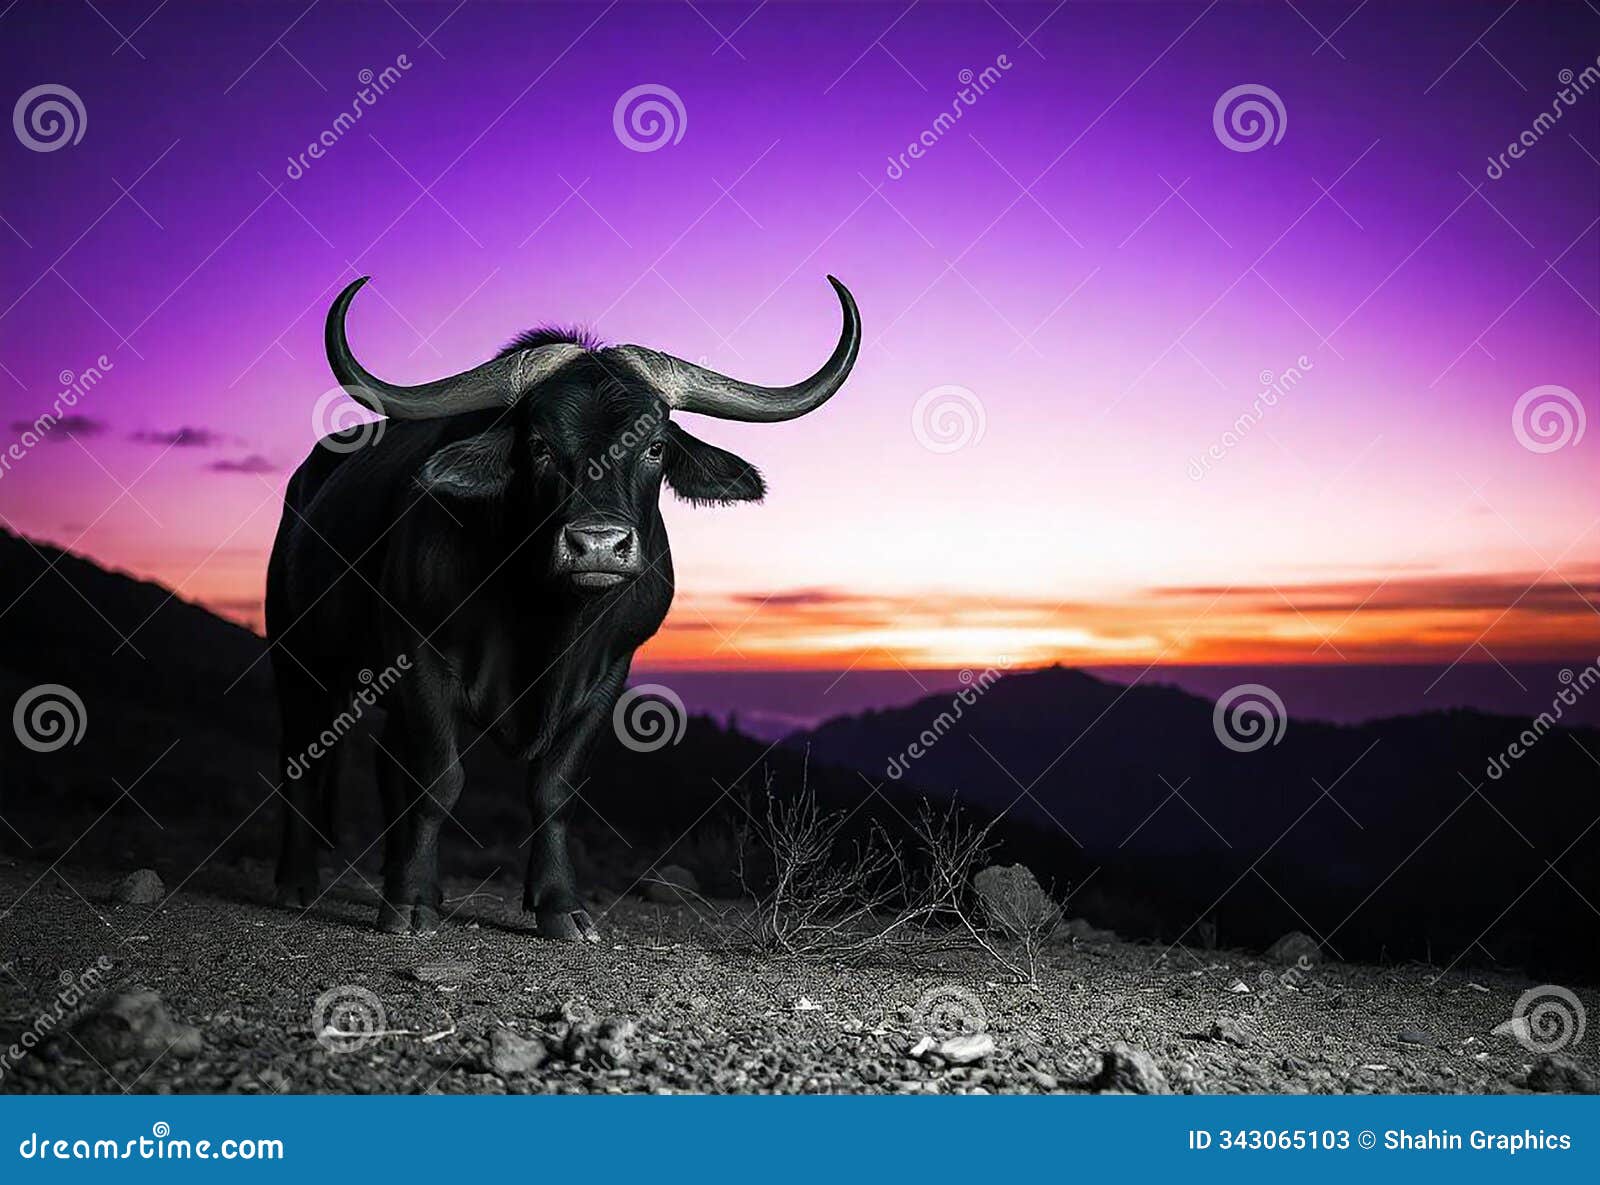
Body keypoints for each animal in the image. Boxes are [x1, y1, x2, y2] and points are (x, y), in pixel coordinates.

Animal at [265, 275, 859, 940]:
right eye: (539, 446)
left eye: (654, 446)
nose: (597, 543)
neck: (544, 622)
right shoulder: (417, 654)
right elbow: (439, 778)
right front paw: (410, 904)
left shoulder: (608, 672)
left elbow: (554, 788)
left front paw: (559, 905)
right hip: (299, 658)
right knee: (303, 758)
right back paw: (297, 882)